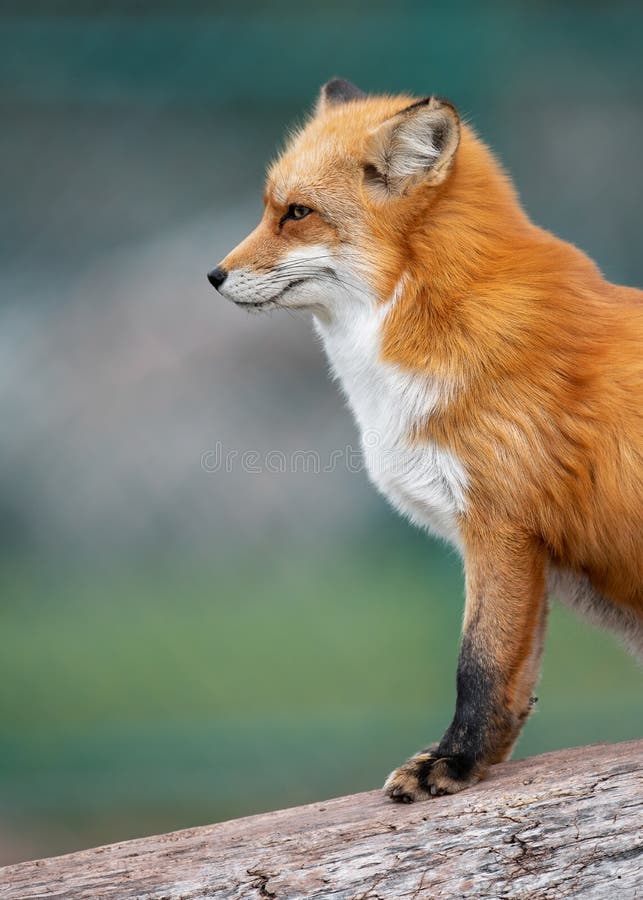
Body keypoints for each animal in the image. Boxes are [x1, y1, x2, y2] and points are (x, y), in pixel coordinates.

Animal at [207, 79, 643, 801]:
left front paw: (453, 764)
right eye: (271, 210)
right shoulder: (527, 553)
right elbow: (514, 686)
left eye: (296, 213)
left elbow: (480, 665)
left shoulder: (500, 527)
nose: (212, 276)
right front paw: (474, 761)